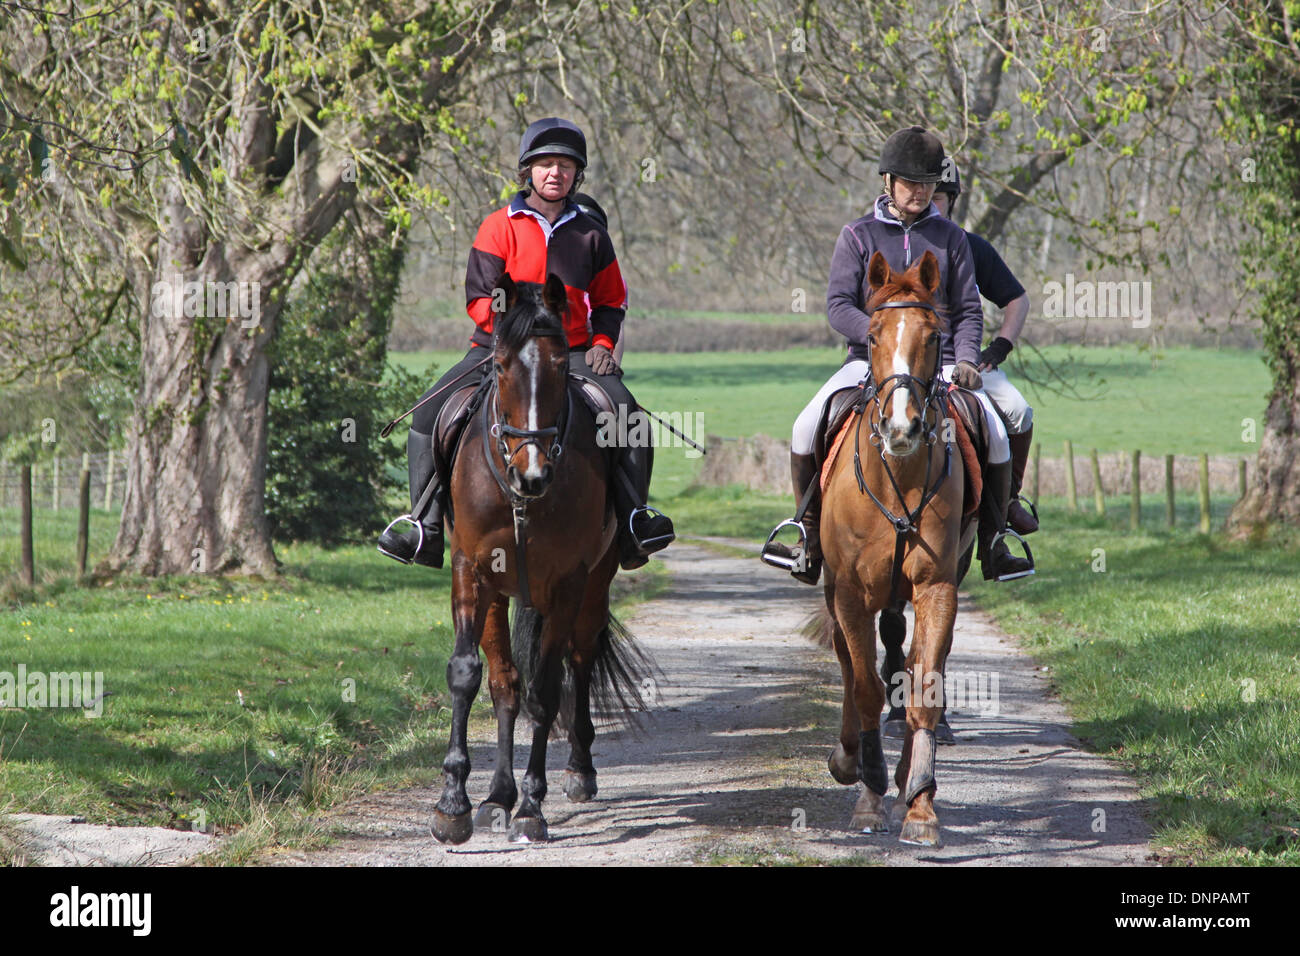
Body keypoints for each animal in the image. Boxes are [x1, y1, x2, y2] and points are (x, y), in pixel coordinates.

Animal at [430, 272, 652, 846]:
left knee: (580, 658)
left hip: (595, 586)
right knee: (507, 684)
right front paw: (456, 802)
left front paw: (532, 806)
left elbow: (547, 691)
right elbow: (472, 675)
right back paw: (496, 796)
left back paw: (577, 771)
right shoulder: (473, 572)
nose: (532, 475)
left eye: (559, 366)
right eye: (502, 364)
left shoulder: (568, 581)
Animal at [813, 249, 978, 847]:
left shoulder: (936, 587)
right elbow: (862, 685)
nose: (902, 427)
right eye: (873, 334)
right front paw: (867, 794)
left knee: (912, 666)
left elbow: (923, 686)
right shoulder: (850, 593)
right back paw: (851, 759)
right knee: (849, 664)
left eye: (934, 335)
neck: (898, 477)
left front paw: (921, 804)